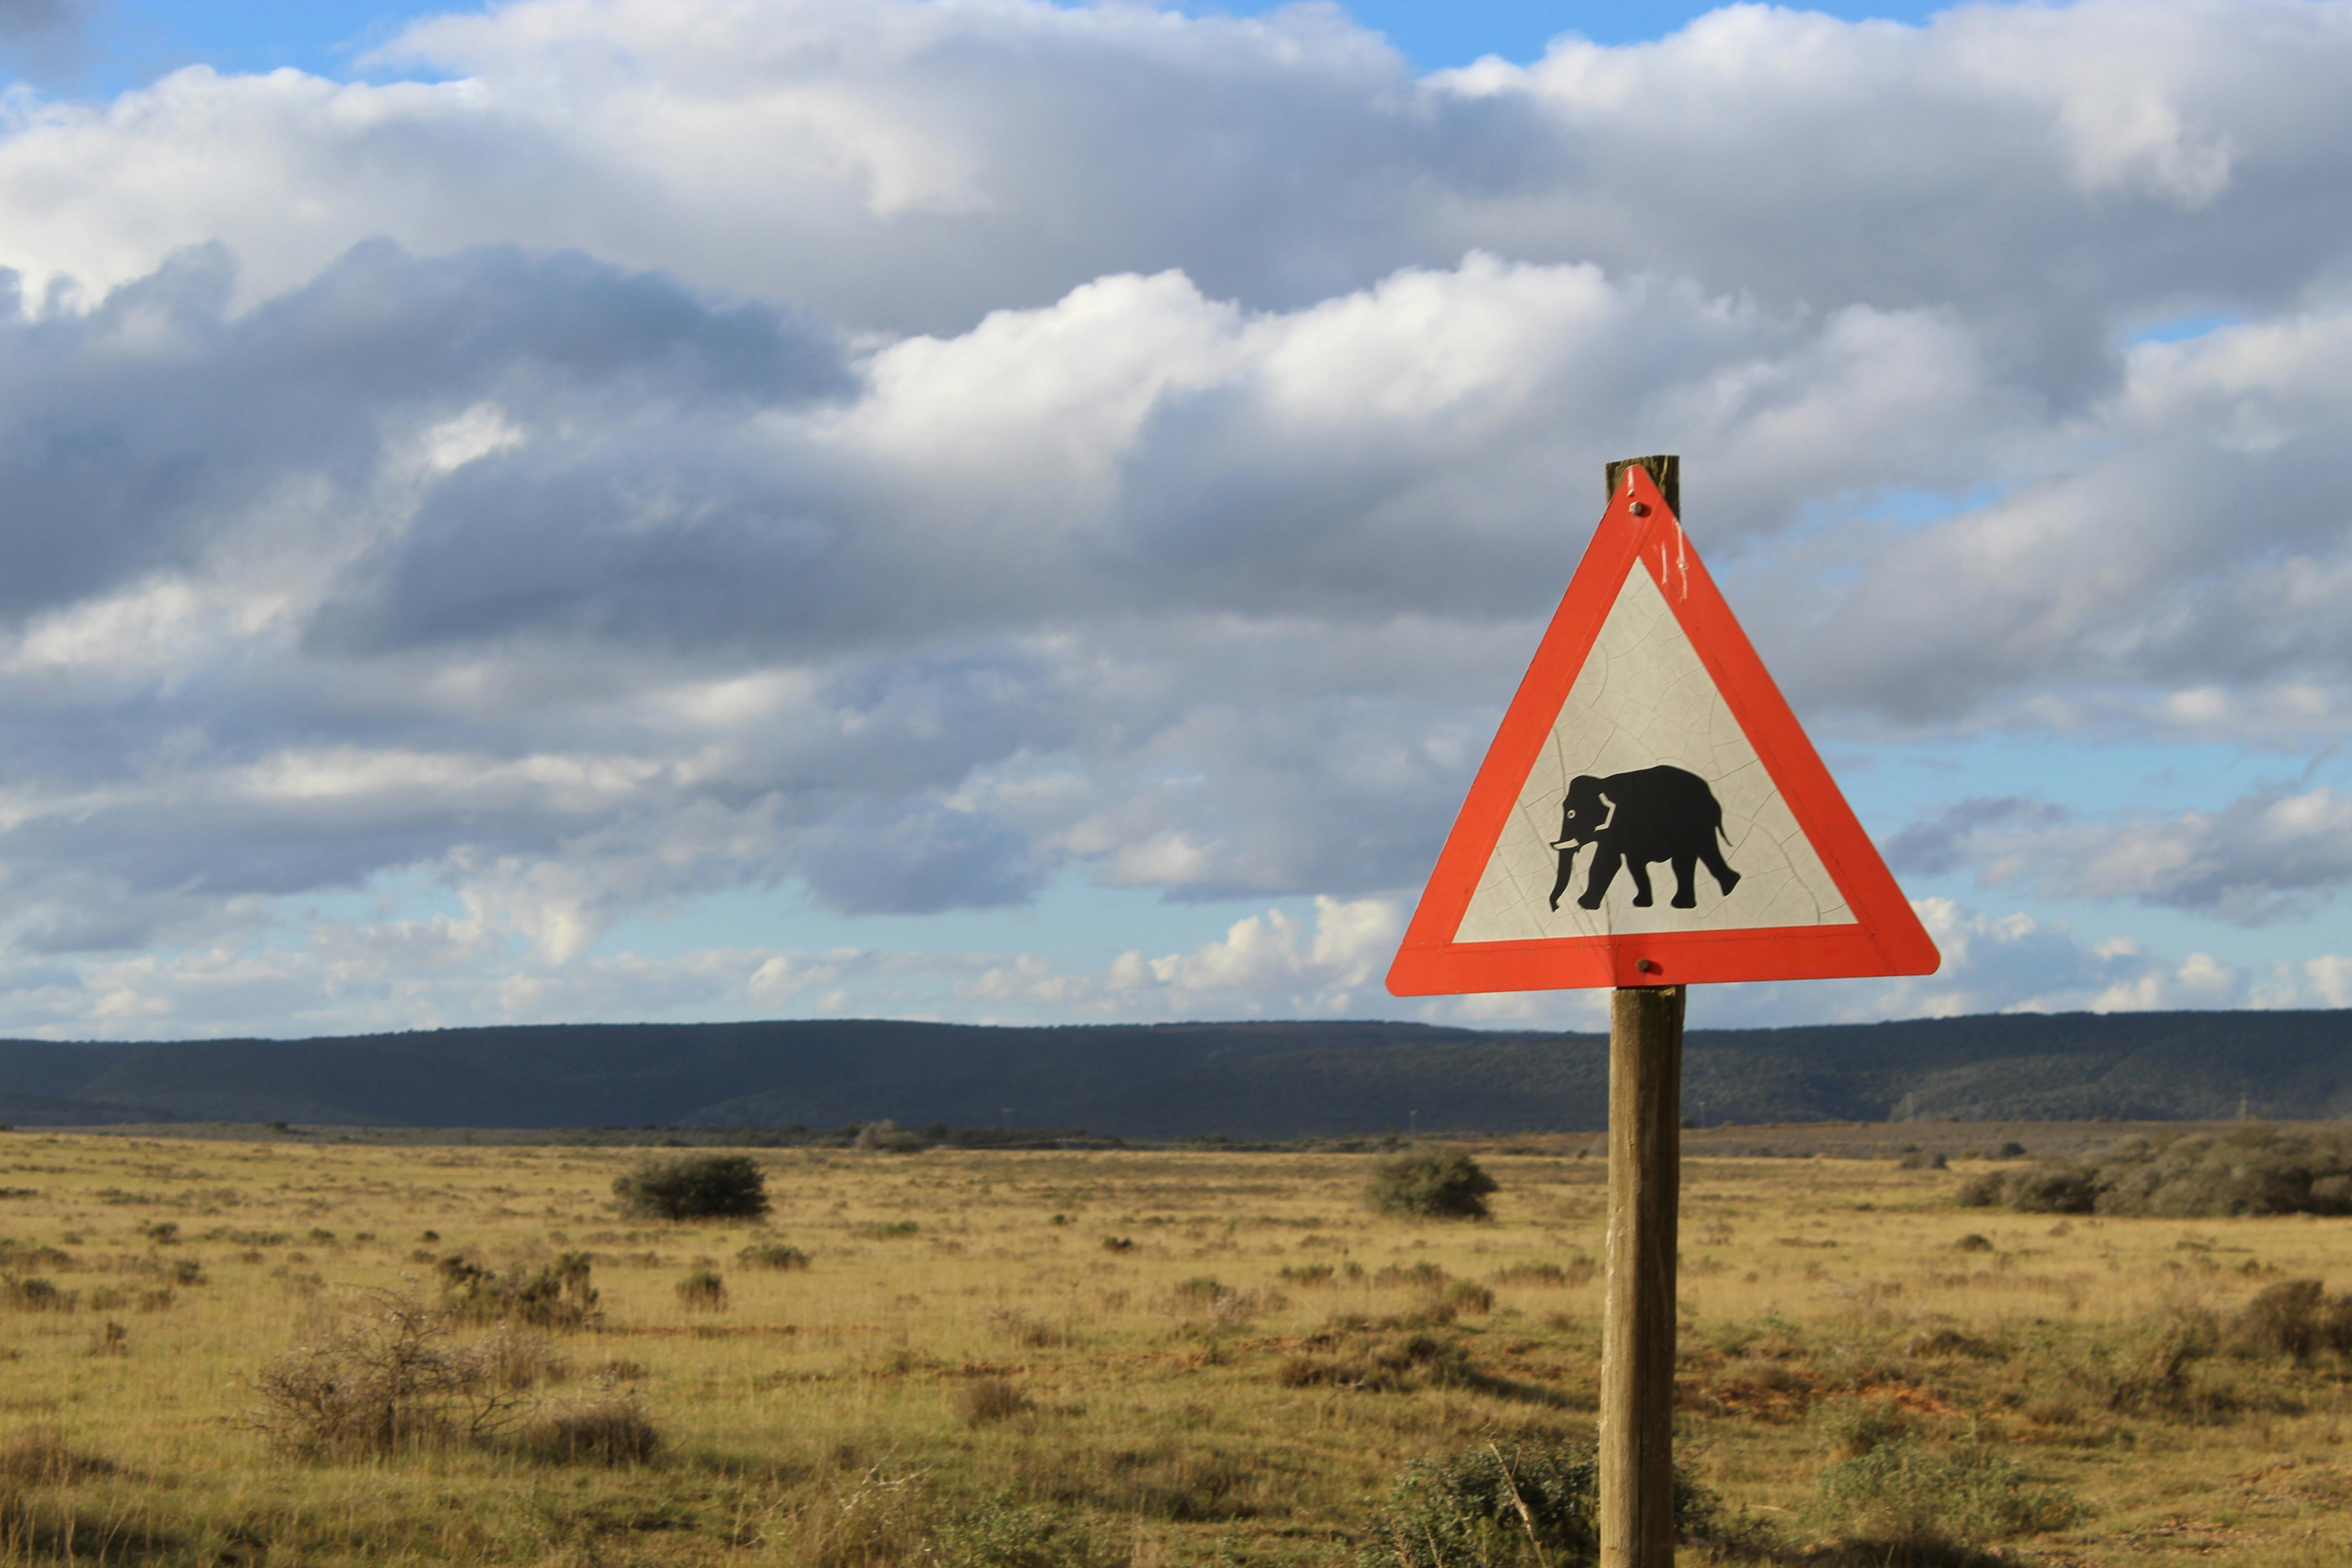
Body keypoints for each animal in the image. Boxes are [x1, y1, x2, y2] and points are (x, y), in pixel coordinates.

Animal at [1545, 765, 1742, 912]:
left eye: (1571, 814)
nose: (1556, 907)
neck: (1604, 783)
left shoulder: (1621, 822)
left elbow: (1606, 863)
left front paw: (1585, 904)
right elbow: (1629, 863)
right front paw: (1641, 904)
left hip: (1694, 824)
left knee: (1685, 861)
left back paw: (1685, 904)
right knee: (1706, 853)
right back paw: (1730, 887)